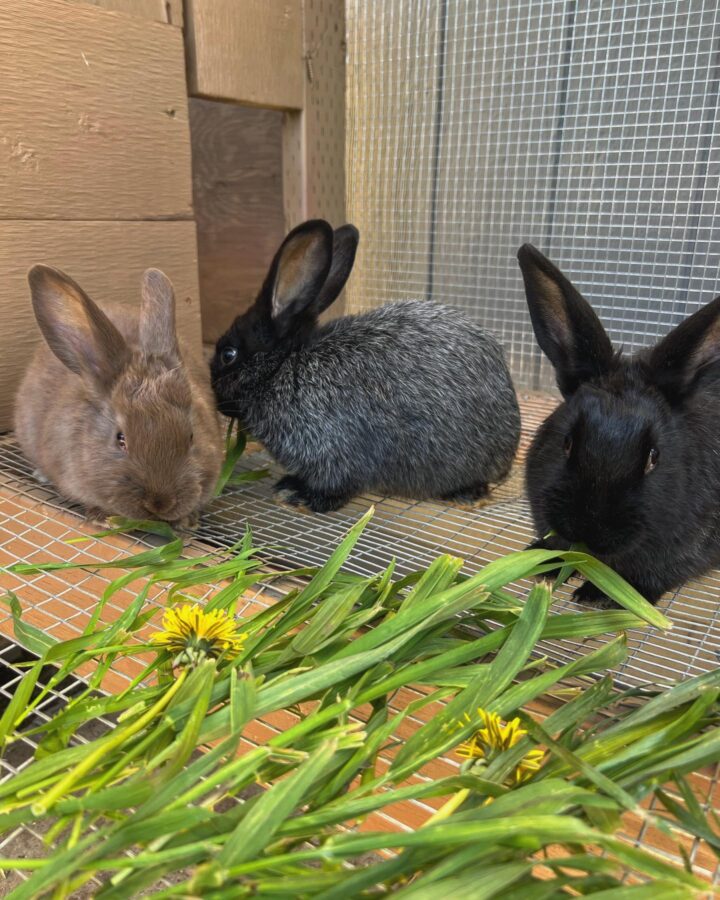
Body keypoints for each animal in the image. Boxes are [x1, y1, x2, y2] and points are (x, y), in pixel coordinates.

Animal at [210, 219, 521, 513]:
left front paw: (295, 495)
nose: (217, 402)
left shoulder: (329, 447)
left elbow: (335, 486)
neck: (283, 366)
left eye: (228, 354)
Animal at [518, 243, 720, 607]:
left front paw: (596, 595)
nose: (589, 531)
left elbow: (655, 575)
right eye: (566, 442)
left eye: (654, 457)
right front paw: (541, 561)